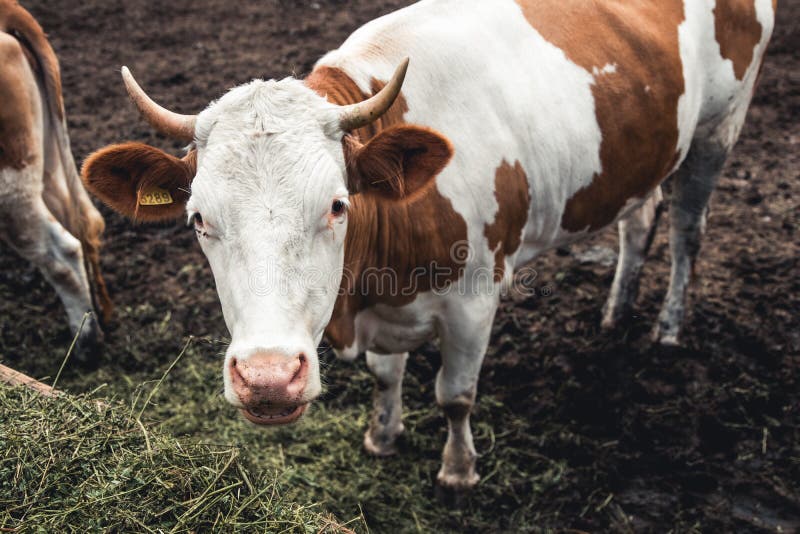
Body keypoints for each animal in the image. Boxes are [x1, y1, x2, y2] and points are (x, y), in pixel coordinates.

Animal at [80, 0, 775, 491]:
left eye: (337, 205)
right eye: (198, 219)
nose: (268, 378)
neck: (370, 286)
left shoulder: (475, 299)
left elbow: (454, 394)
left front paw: (459, 470)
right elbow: (387, 375)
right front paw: (382, 436)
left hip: (721, 127)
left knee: (687, 229)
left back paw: (668, 326)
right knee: (640, 219)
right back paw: (616, 311)